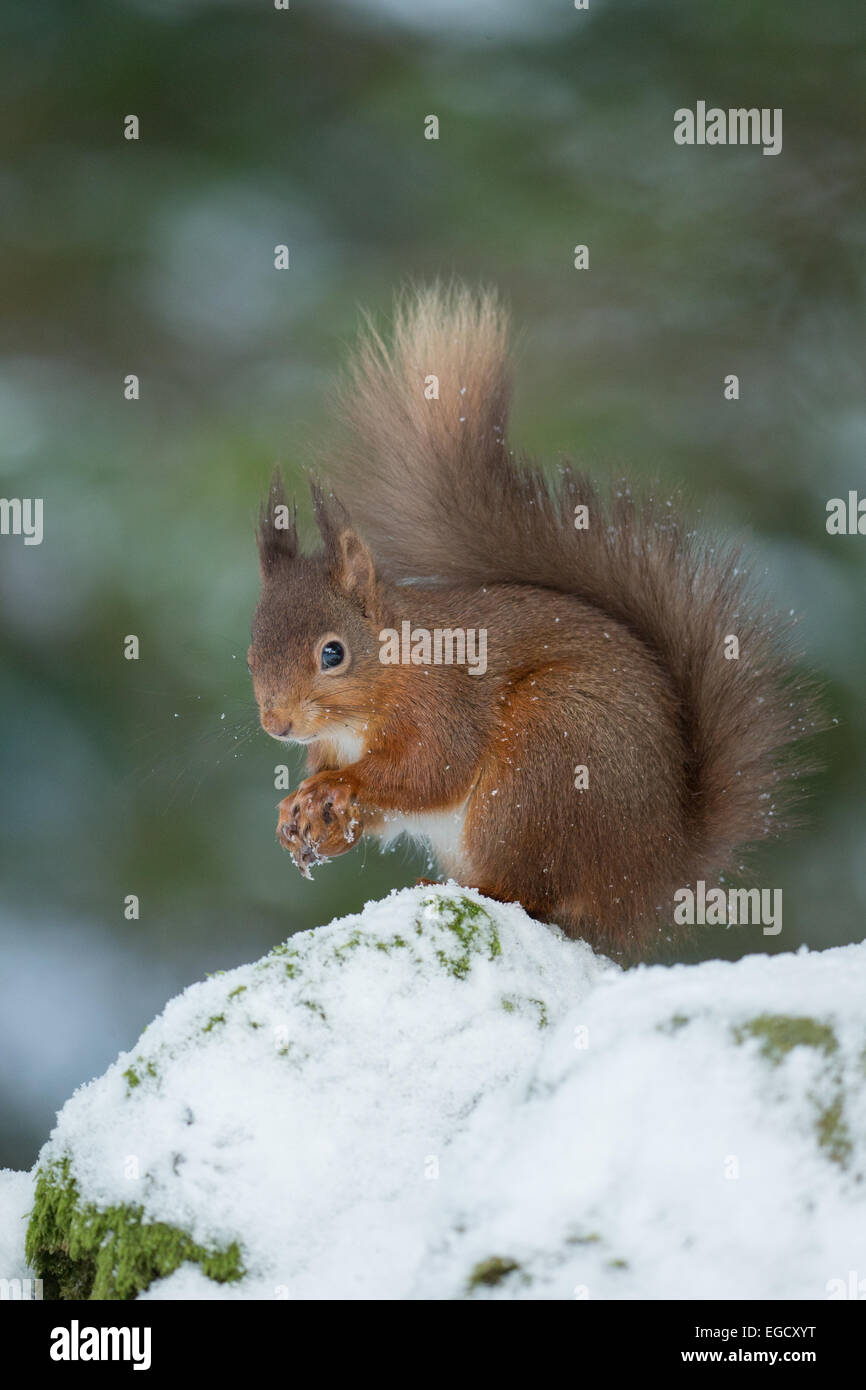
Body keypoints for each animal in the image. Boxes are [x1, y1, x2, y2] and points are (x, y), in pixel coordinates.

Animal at [249, 284, 818, 956]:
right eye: (251, 654)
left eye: (332, 653)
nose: (278, 724)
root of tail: (650, 874)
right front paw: (300, 814)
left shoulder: (443, 702)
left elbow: (430, 770)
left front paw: (333, 791)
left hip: (542, 763)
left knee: (534, 894)